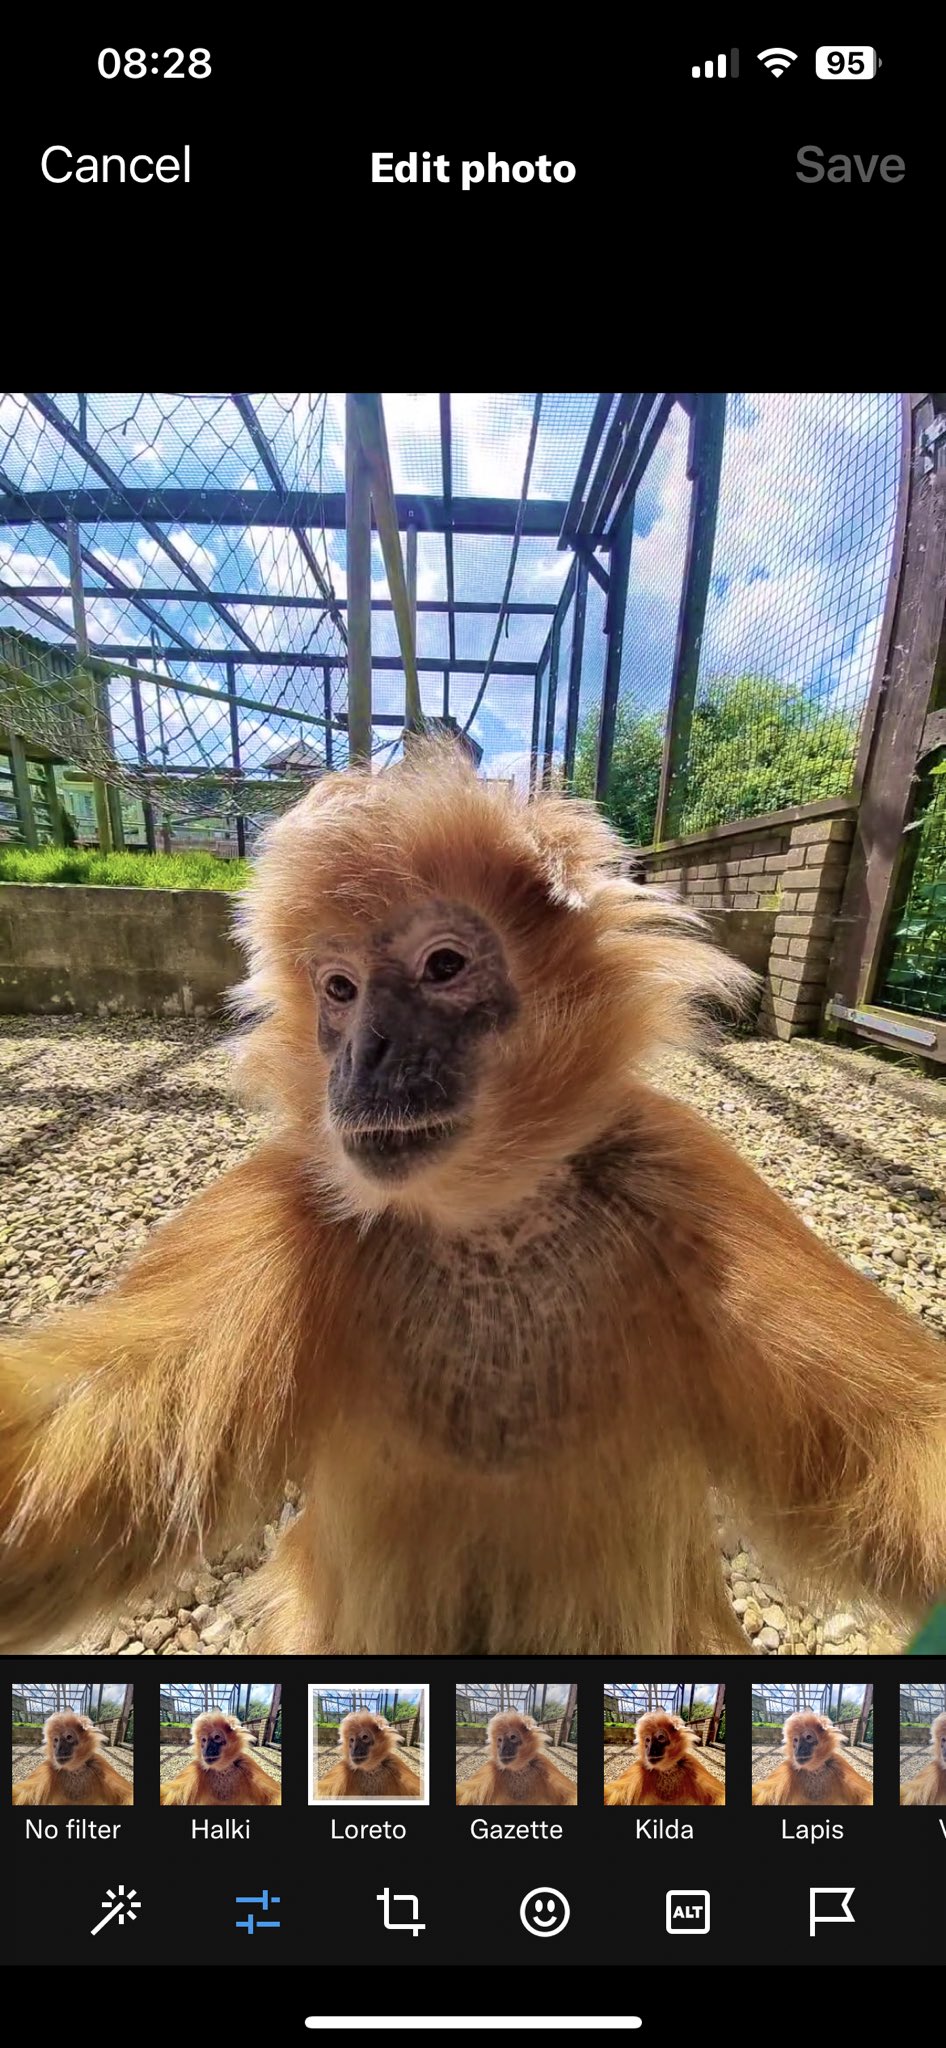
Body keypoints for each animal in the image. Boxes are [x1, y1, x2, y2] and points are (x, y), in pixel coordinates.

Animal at [2, 739, 946, 1657]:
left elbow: (905, 1434)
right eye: (340, 989)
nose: (366, 1053)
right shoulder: (289, 1204)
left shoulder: (682, 1181)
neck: (489, 1224)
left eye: (444, 966)